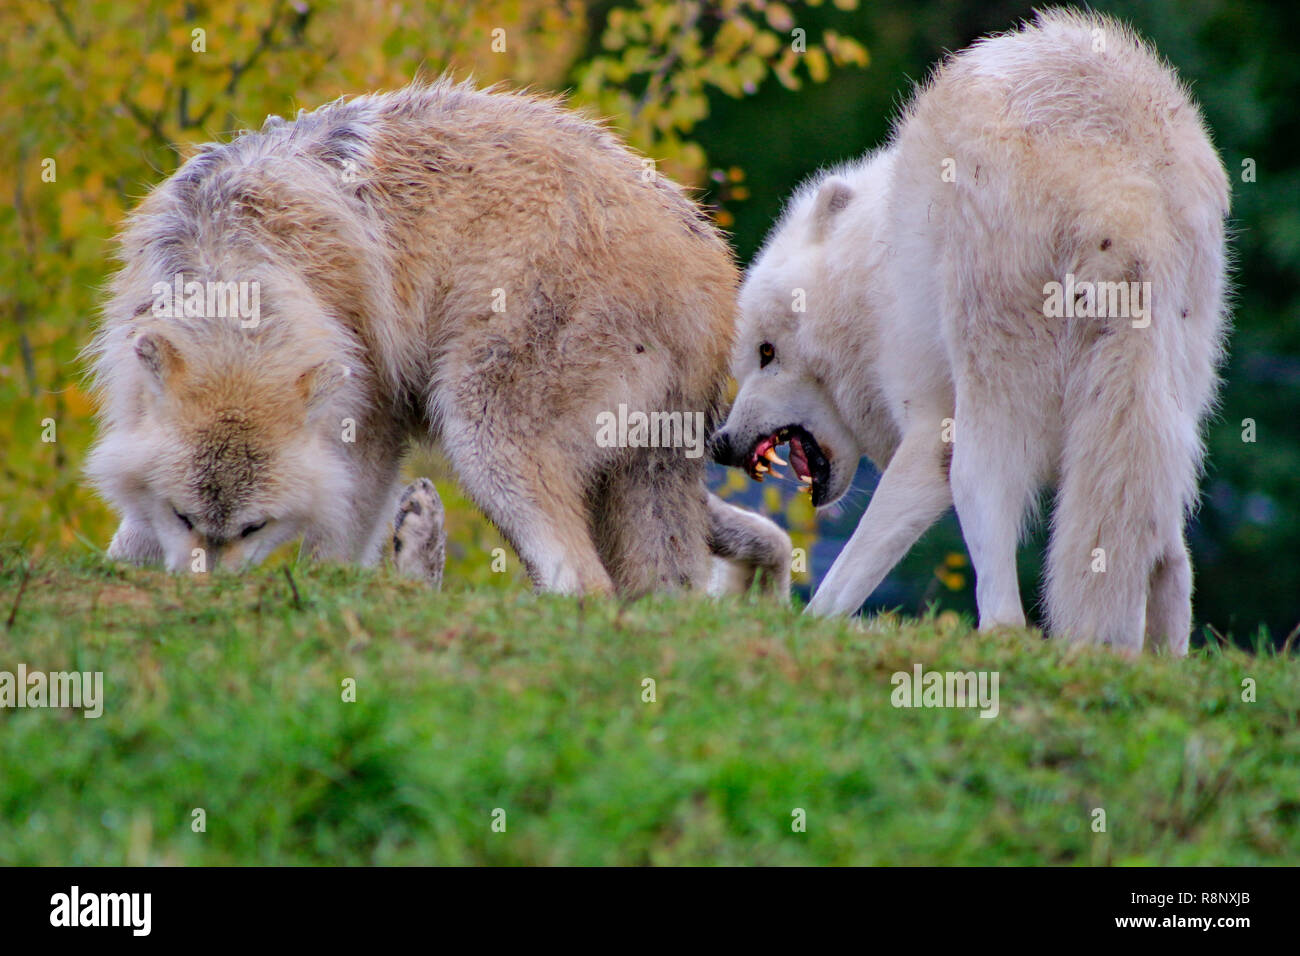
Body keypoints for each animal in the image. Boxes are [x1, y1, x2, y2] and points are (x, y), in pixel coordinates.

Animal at [86, 79, 789, 597]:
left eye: (253, 527)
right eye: (183, 517)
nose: (206, 594)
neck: (245, 260)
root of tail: (712, 273)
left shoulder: (370, 416)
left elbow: (332, 547)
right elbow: (129, 536)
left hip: (479, 429)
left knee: (584, 589)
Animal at [712, 10, 1230, 653]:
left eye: (766, 353)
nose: (720, 444)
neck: (868, 288)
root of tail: (1119, 187)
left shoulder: (928, 435)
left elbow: (842, 581)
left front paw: (808, 631)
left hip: (984, 416)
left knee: (1002, 585)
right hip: (1167, 409)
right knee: (1170, 559)